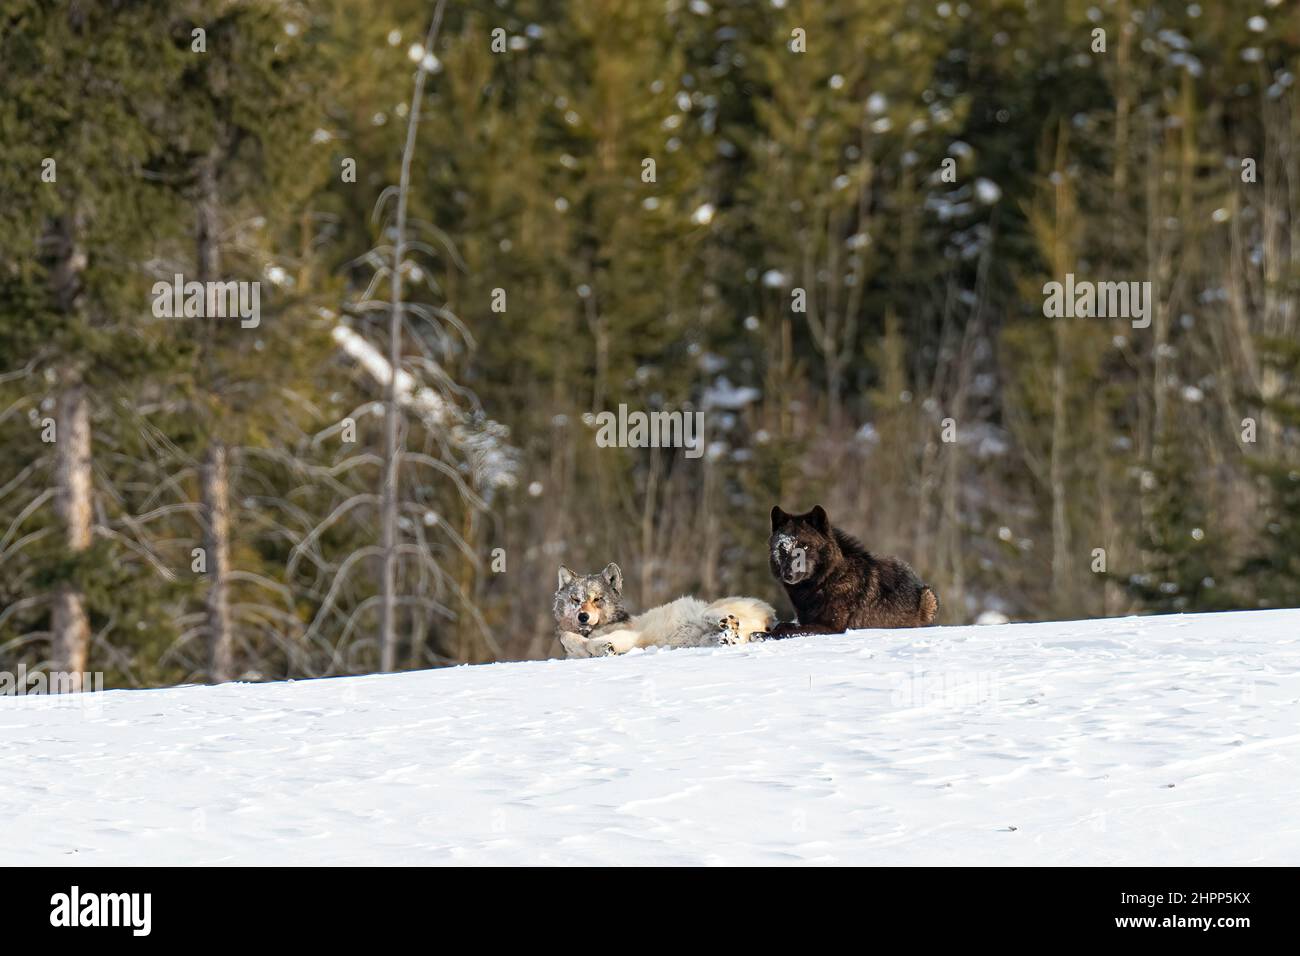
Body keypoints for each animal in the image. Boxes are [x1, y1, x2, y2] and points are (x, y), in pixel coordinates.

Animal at [553, 563, 776, 658]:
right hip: (702, 639)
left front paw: (603, 647)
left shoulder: (630, 634)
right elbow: (568, 638)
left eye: (597, 599)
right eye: (576, 599)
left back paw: (726, 622)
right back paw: (727, 635)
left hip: (706, 611)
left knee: (717, 617)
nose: (583, 616)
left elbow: (588, 642)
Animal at [768, 505, 939, 635]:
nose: (788, 574)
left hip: (929, 596)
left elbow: (786, 628)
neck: (829, 580)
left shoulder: (833, 627)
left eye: (805, 546)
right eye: (782, 547)